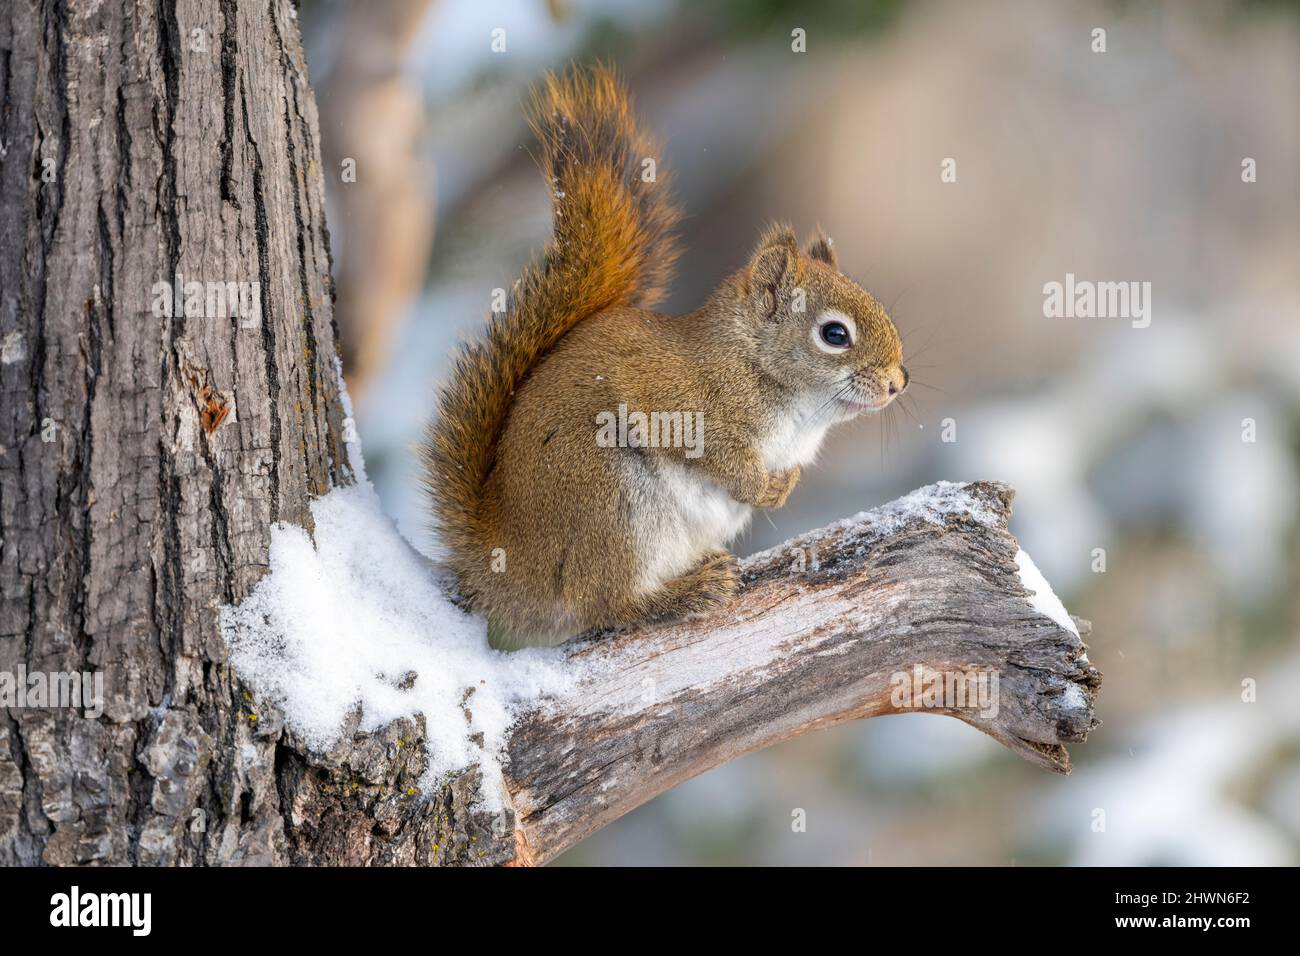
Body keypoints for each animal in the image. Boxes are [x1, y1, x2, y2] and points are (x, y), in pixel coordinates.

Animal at [422, 65, 908, 650]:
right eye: (835, 334)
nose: (898, 381)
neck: (764, 376)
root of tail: (508, 570)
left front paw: (781, 487)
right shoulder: (669, 395)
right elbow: (712, 451)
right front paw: (756, 484)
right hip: (608, 500)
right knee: (605, 603)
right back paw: (685, 592)